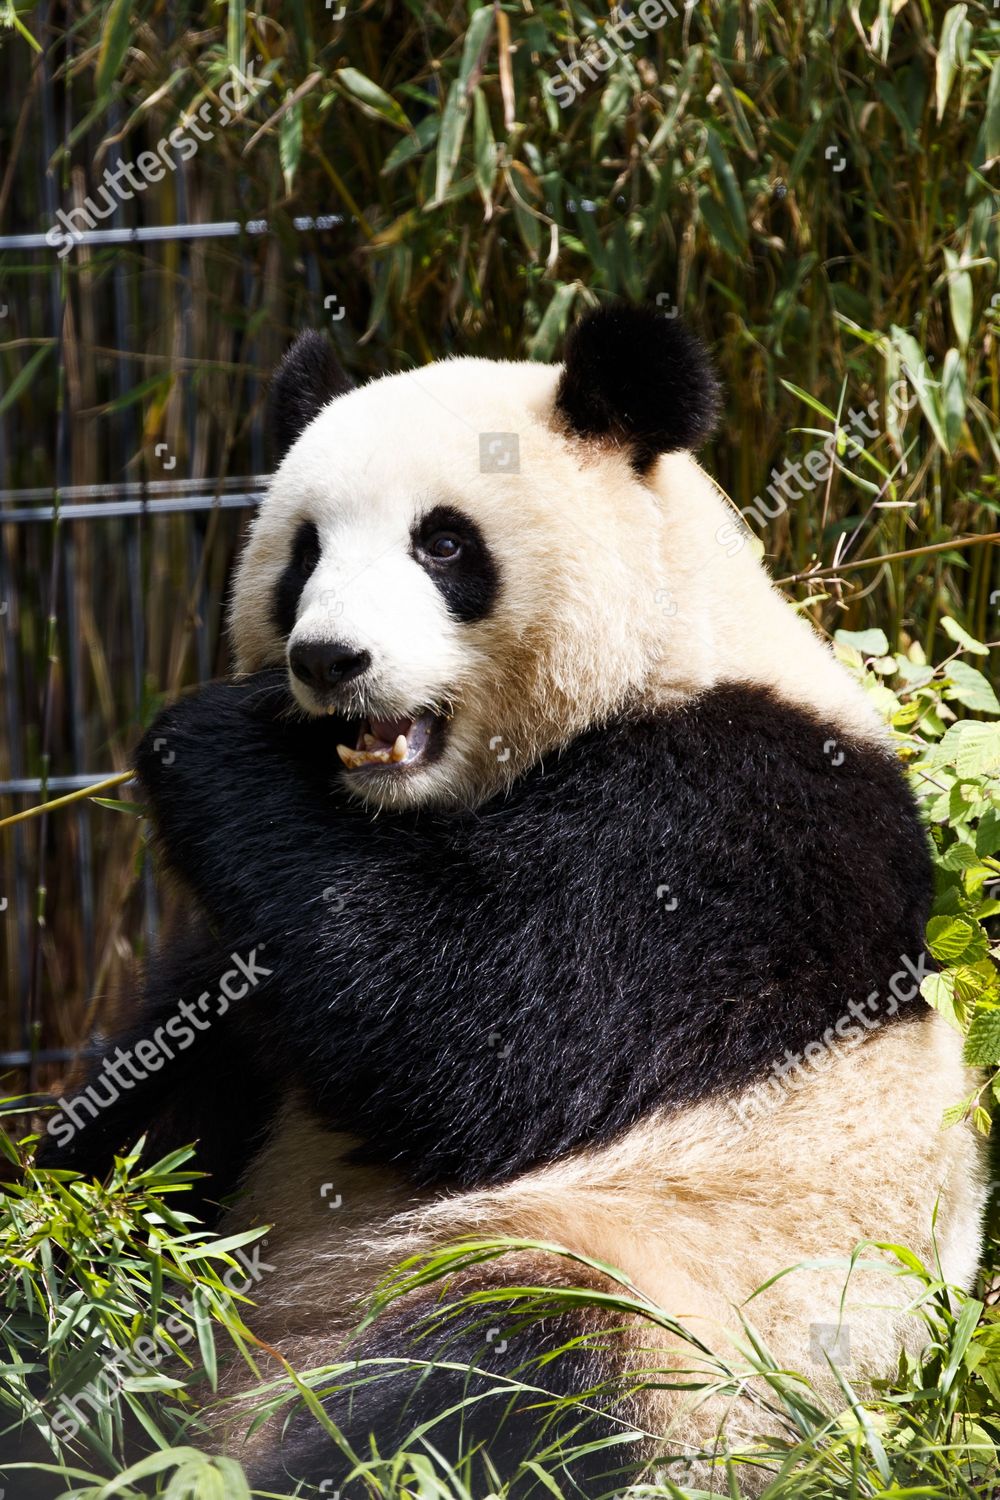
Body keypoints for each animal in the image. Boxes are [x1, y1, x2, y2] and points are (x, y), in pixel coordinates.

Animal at [37, 304, 986, 1497]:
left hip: (675, 1313)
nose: (328, 660)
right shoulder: (239, 974)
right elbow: (165, 1093)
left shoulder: (734, 828)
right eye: (303, 552)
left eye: (442, 544)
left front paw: (216, 735)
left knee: (506, 1373)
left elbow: (486, 1030)